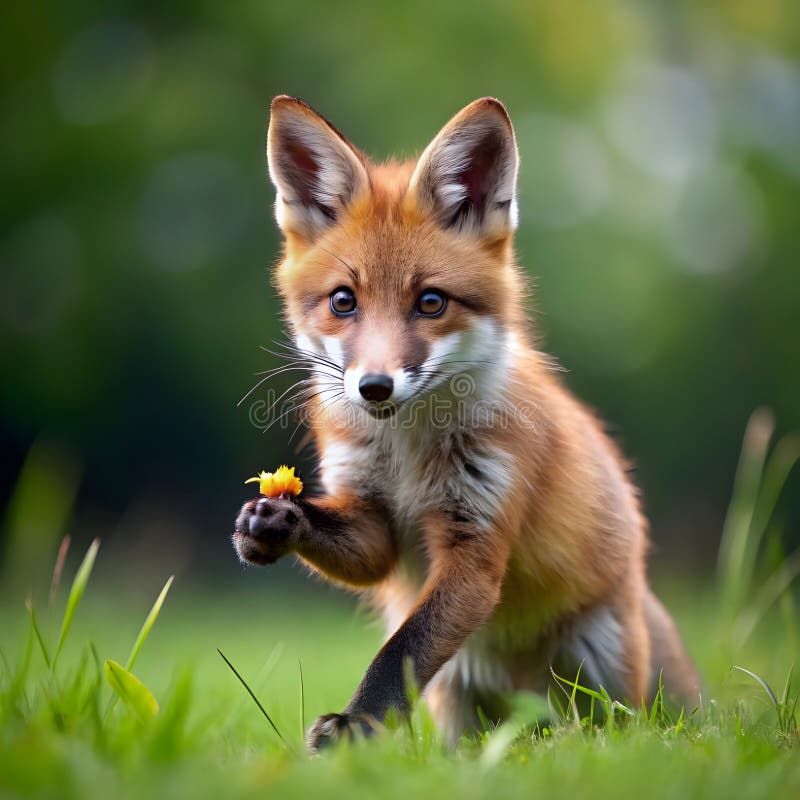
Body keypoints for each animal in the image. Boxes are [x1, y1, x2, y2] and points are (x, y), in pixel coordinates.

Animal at [233, 95, 700, 751]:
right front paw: (273, 521)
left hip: (600, 667)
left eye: (431, 302)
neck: (406, 451)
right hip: (459, 697)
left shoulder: (475, 545)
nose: (374, 387)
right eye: (343, 301)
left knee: (608, 727)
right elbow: (367, 558)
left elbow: (400, 652)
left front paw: (354, 726)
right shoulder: (371, 513)